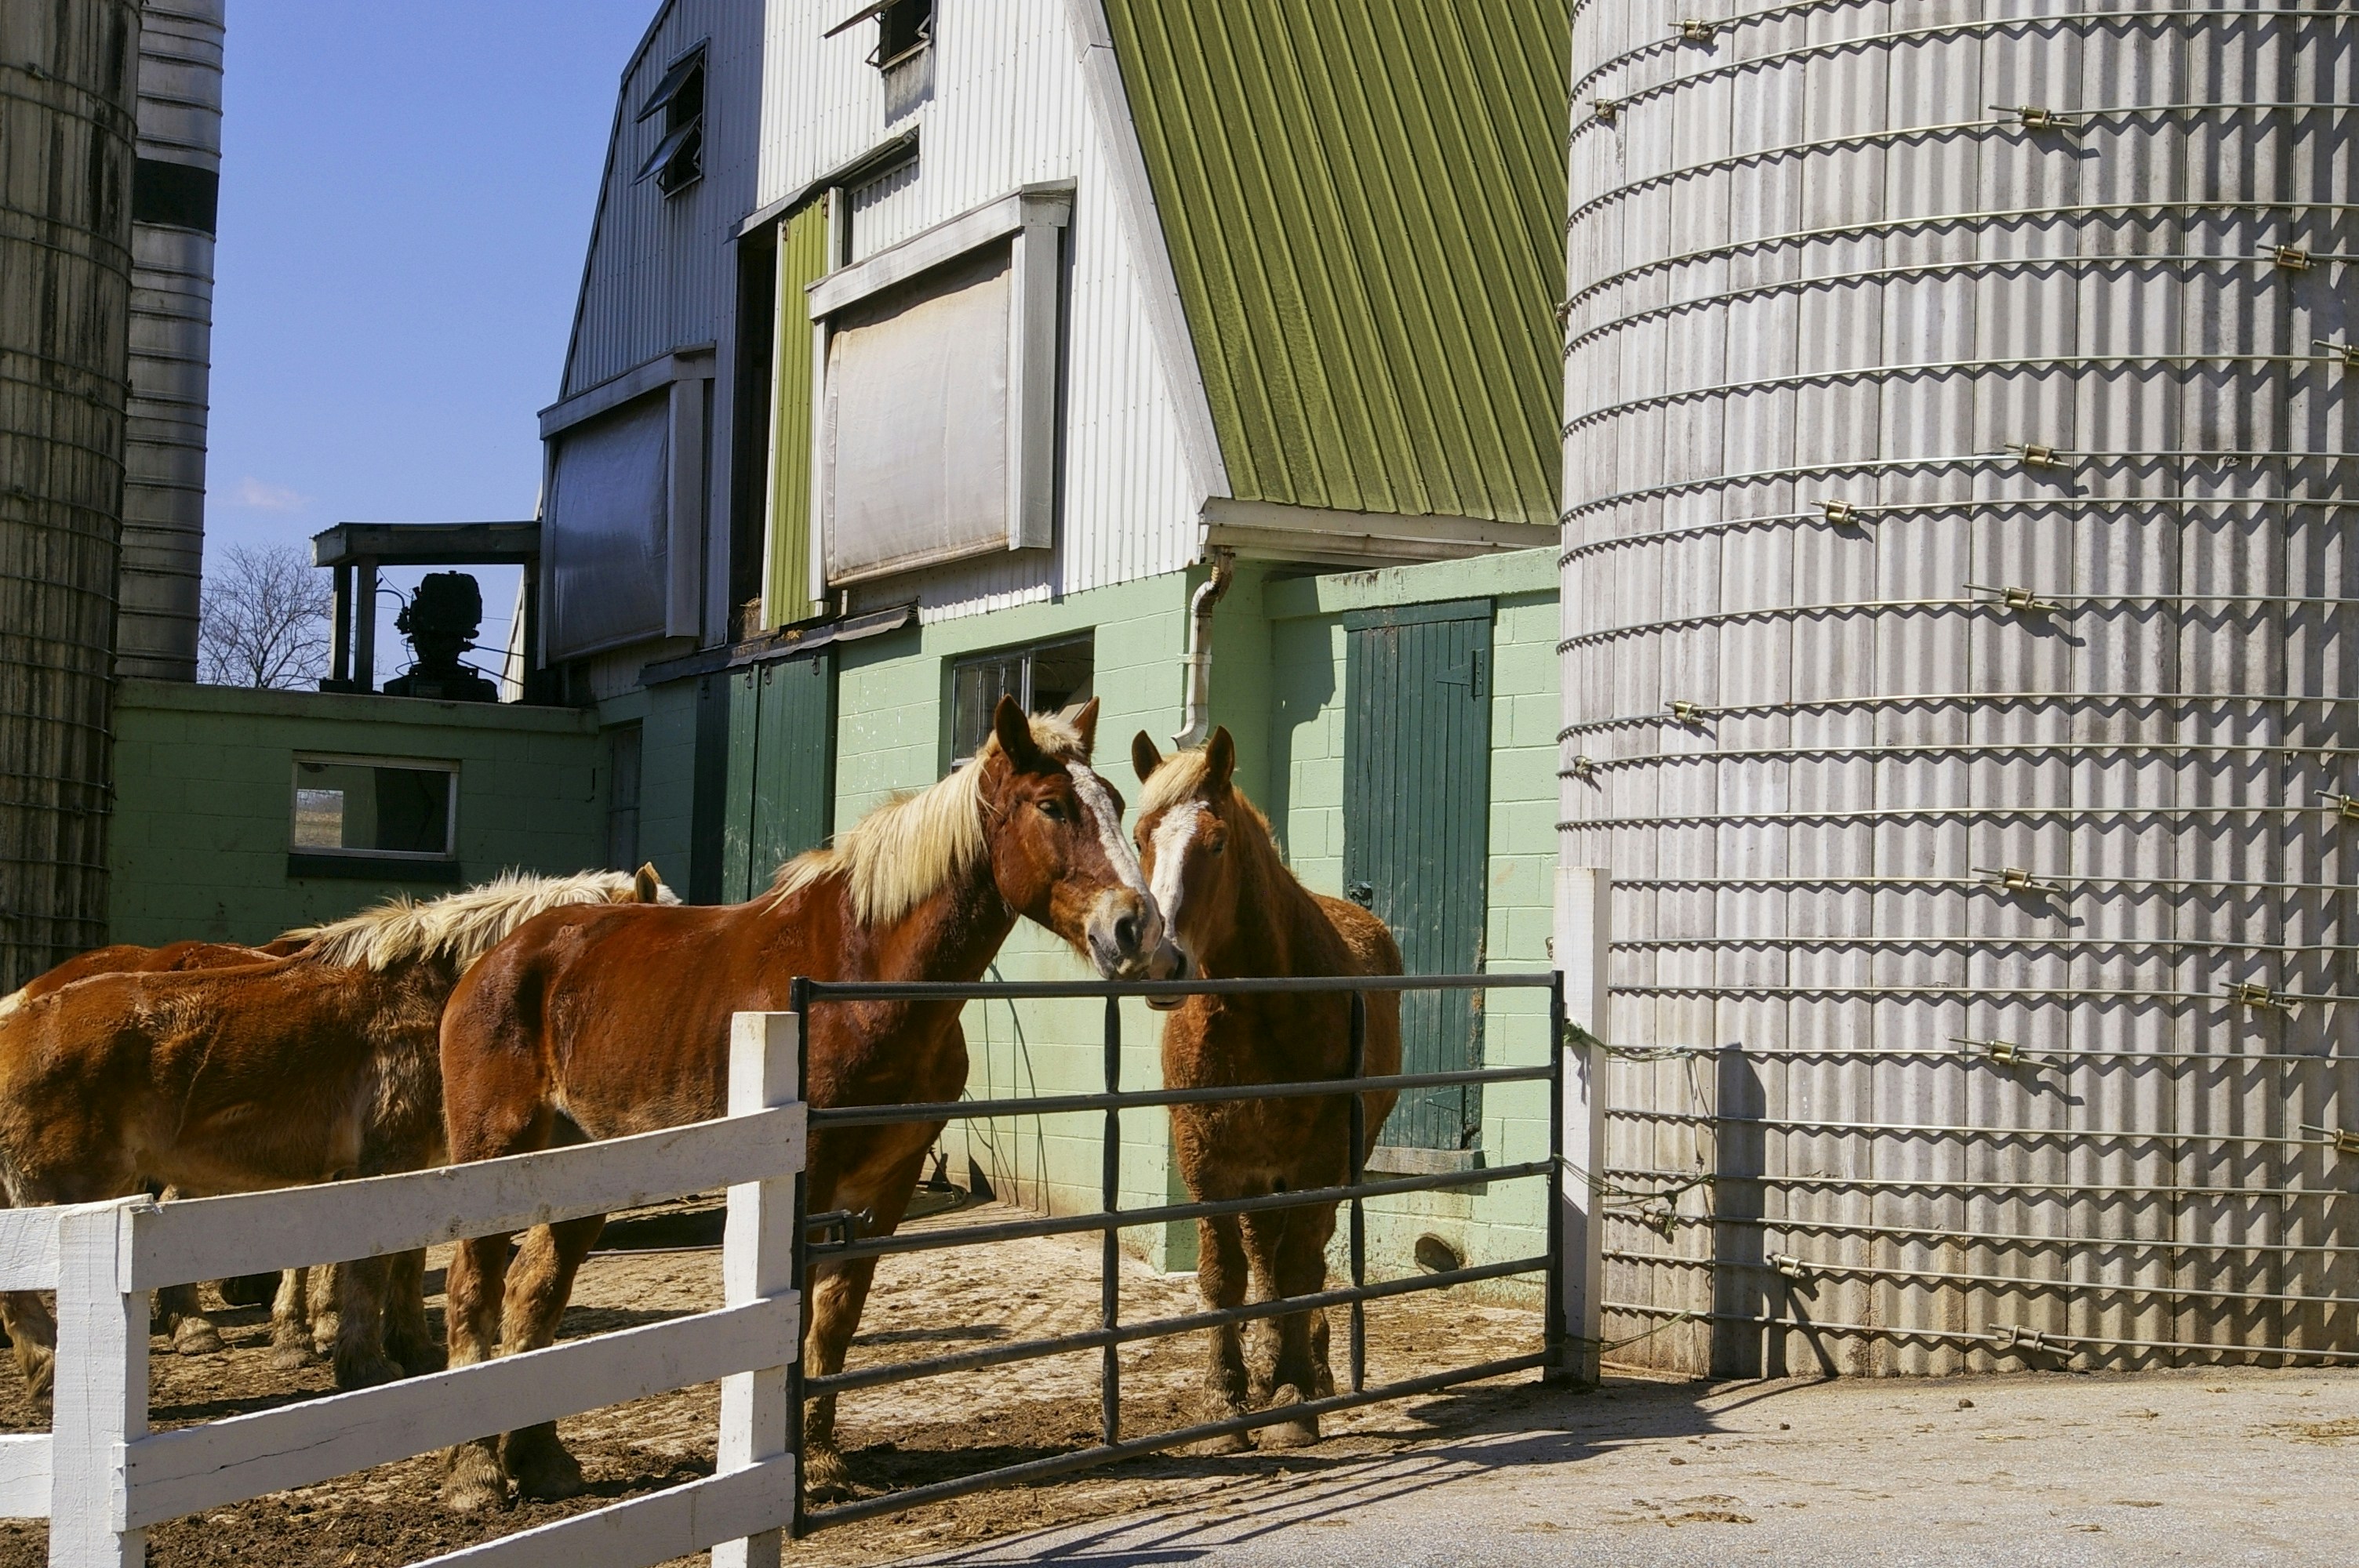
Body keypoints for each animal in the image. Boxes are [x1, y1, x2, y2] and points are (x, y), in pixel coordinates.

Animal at [0, 866, 675, 1398]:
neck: (441, 989)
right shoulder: (388, 1159)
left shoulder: (417, 1162)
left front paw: (410, 1349)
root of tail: (18, 1016)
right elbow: (371, 1265)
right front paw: (364, 1362)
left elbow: (402, 1261)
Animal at [433, 696, 1170, 1512]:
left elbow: (835, 1320)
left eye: (1114, 803)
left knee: (536, 1288)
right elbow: (792, 1324)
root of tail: (497, 958)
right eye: (1050, 806)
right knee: (473, 1289)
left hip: (586, 1167)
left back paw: (539, 1460)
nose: (1140, 930)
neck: (863, 973)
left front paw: (818, 1463)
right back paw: (473, 1473)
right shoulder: (804, 1178)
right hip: (493, 1156)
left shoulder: (886, 1186)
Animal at [1130, 726, 1402, 1449]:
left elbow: (1301, 1269)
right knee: (1263, 1255)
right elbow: (1223, 1276)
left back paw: (1310, 1368)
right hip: (1258, 1173)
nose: (1157, 961)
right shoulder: (1207, 1158)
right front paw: (1226, 1402)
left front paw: (1293, 1395)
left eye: (1217, 843)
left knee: (1299, 1257)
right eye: (1139, 837)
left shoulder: (1317, 1159)